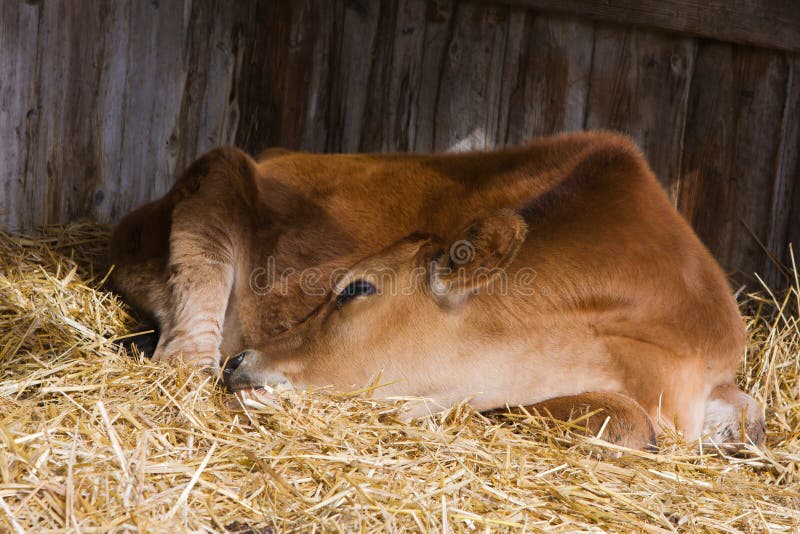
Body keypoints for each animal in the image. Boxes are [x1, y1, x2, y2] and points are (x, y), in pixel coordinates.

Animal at [110, 131, 765, 450]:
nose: (244, 359)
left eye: (356, 289)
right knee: (183, 358)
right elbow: (632, 426)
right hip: (214, 182)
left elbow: (752, 416)